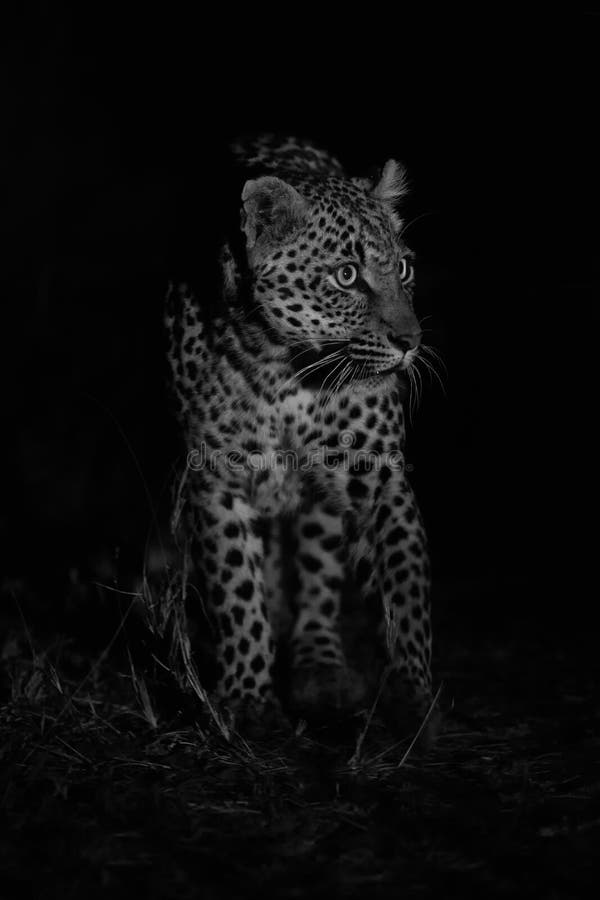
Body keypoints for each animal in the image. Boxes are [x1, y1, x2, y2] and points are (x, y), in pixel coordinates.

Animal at [165, 134, 438, 738]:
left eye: (404, 268)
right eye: (346, 276)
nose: (410, 341)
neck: (285, 371)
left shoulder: (380, 475)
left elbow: (407, 583)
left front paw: (411, 692)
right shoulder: (215, 481)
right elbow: (237, 588)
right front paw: (247, 697)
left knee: (318, 568)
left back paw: (320, 665)